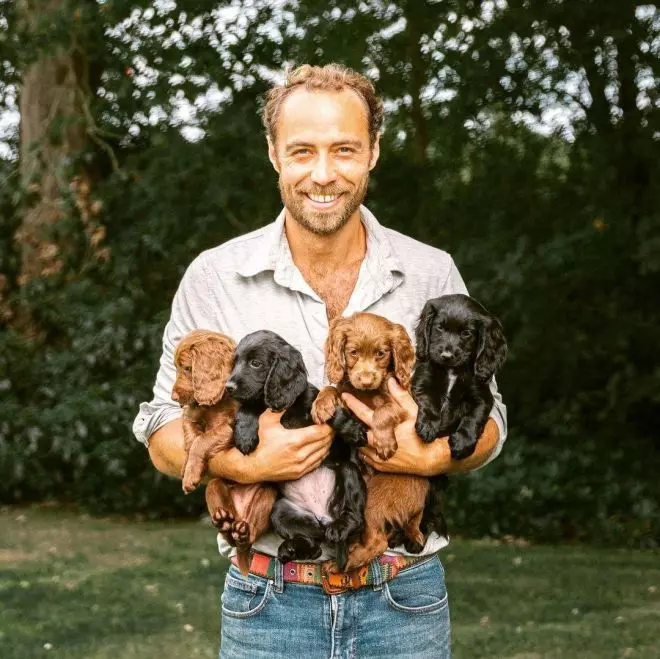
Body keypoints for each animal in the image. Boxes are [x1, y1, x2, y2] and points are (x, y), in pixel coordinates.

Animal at [173, 330, 276, 572]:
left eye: (187, 368)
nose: (174, 398)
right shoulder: (190, 416)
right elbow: (191, 438)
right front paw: (187, 468)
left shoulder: (229, 428)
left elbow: (202, 441)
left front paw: (190, 475)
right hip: (214, 487)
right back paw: (223, 520)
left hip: (267, 496)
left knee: (250, 536)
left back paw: (243, 531)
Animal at [224, 332, 364, 568]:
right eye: (234, 363)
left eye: (255, 363)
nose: (229, 387)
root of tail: (325, 515)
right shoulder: (254, 402)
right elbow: (247, 407)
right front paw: (244, 435)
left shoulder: (312, 401)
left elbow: (329, 410)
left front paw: (353, 430)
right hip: (280, 510)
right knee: (316, 539)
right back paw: (292, 548)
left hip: (348, 471)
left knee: (356, 520)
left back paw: (340, 526)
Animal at [312, 314, 430, 572]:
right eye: (353, 352)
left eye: (381, 354)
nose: (366, 380)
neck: (365, 393)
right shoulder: (346, 393)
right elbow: (332, 389)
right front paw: (321, 404)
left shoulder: (401, 407)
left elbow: (383, 412)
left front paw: (384, 442)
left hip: (375, 499)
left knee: (377, 541)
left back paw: (342, 564)